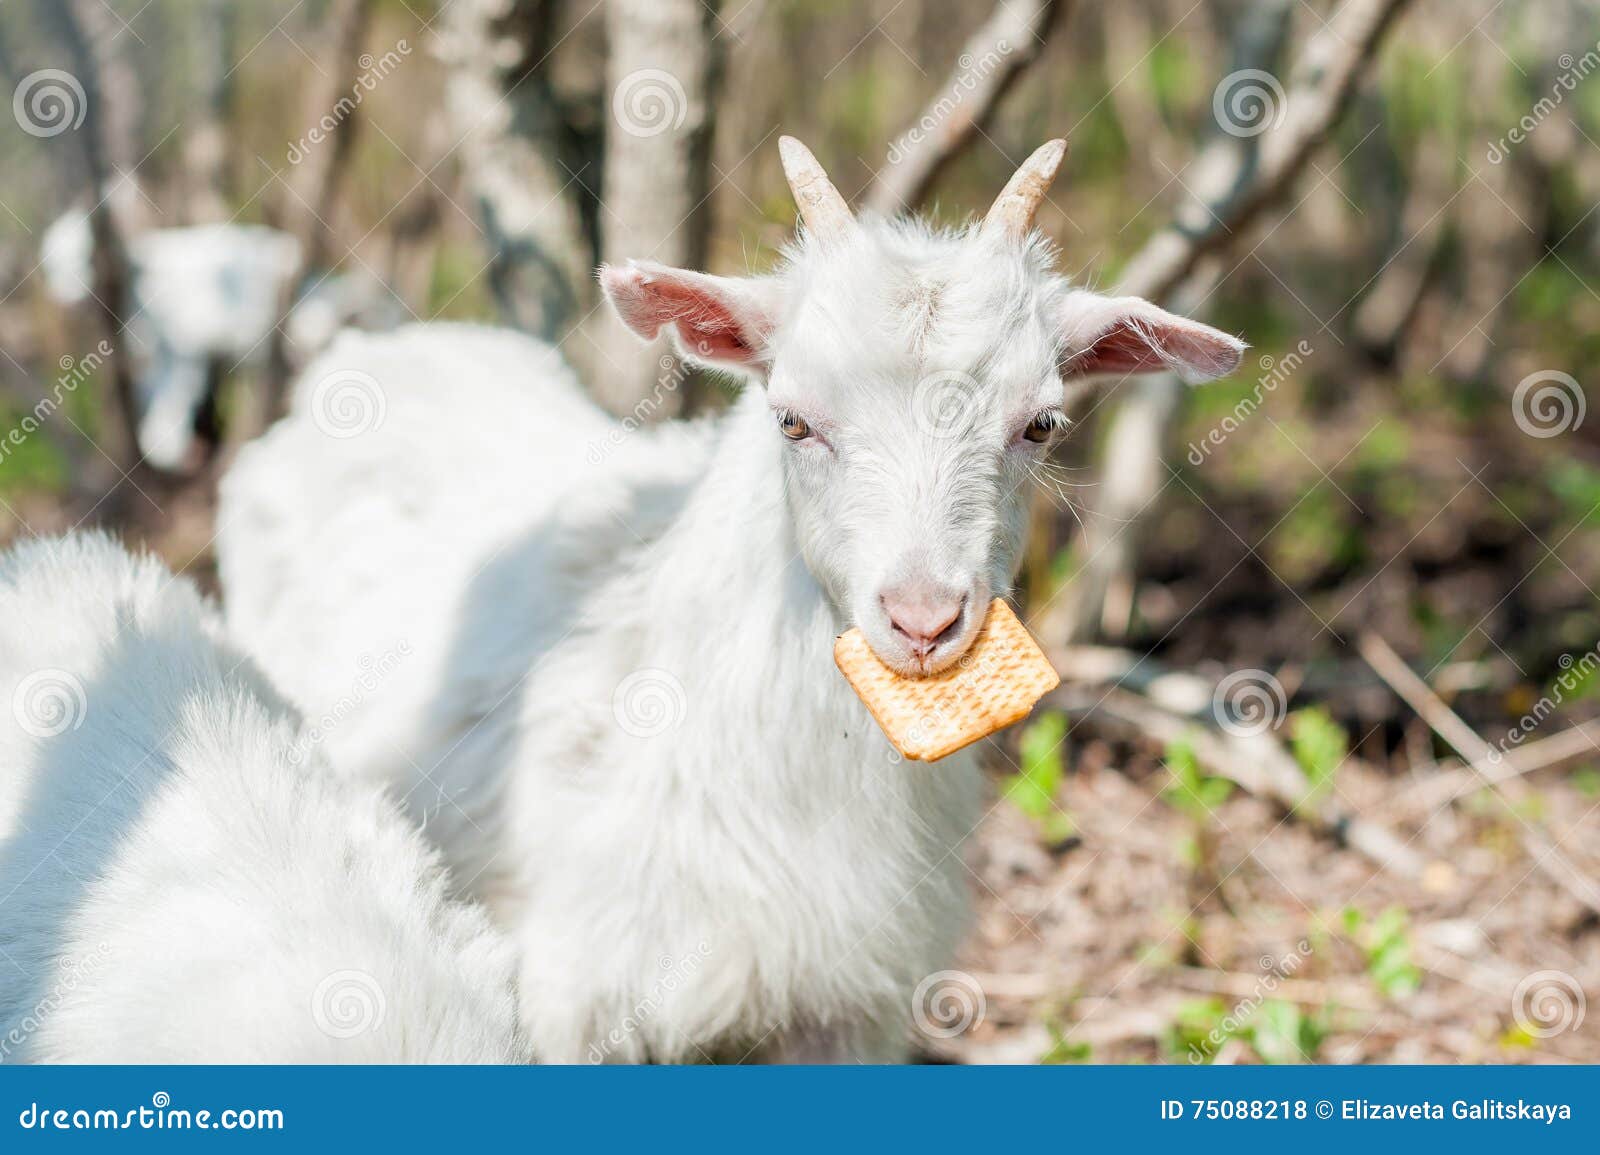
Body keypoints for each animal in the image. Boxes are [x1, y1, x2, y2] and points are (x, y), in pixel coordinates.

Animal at [217, 137, 1245, 1062]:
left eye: (1041, 423)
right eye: (791, 418)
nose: (922, 620)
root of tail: (373, 348)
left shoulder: (843, 1006)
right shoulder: (573, 995)